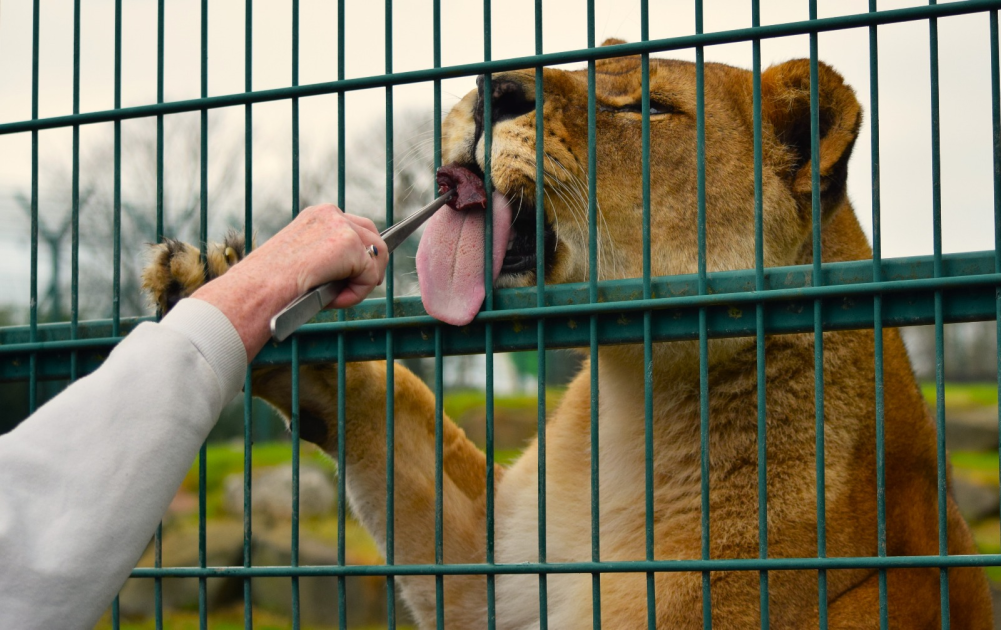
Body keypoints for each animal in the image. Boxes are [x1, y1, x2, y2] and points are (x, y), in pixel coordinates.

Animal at [143, 43, 993, 628]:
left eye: (646, 109)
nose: (493, 90)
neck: (632, 400)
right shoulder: (495, 564)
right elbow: (398, 414)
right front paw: (222, 281)